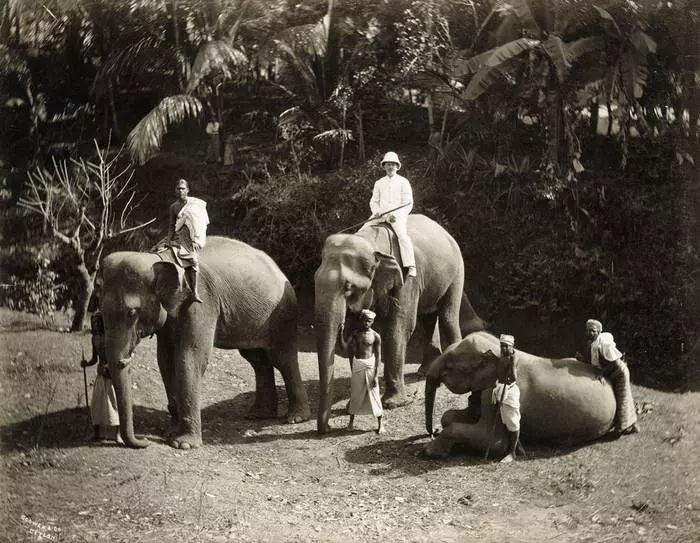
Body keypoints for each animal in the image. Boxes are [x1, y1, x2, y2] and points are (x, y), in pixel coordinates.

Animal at [101, 238, 312, 450]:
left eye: (131, 313)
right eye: (100, 310)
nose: (144, 441)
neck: (159, 257)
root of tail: (279, 270)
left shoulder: (200, 302)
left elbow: (190, 357)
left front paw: (182, 444)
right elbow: (165, 360)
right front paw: (170, 433)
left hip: (283, 313)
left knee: (282, 358)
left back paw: (296, 418)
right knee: (256, 359)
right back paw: (258, 415)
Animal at [314, 212, 484, 434]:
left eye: (348, 287)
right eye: (314, 280)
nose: (325, 429)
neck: (372, 243)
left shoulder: (407, 276)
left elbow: (400, 327)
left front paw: (392, 404)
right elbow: (357, 334)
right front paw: (353, 402)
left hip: (456, 272)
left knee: (448, 315)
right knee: (427, 318)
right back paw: (424, 371)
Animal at [424, 332, 616, 460]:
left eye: (449, 365)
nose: (432, 432)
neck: (497, 349)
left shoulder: (496, 392)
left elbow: (492, 441)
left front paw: (428, 450)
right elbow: (449, 416)